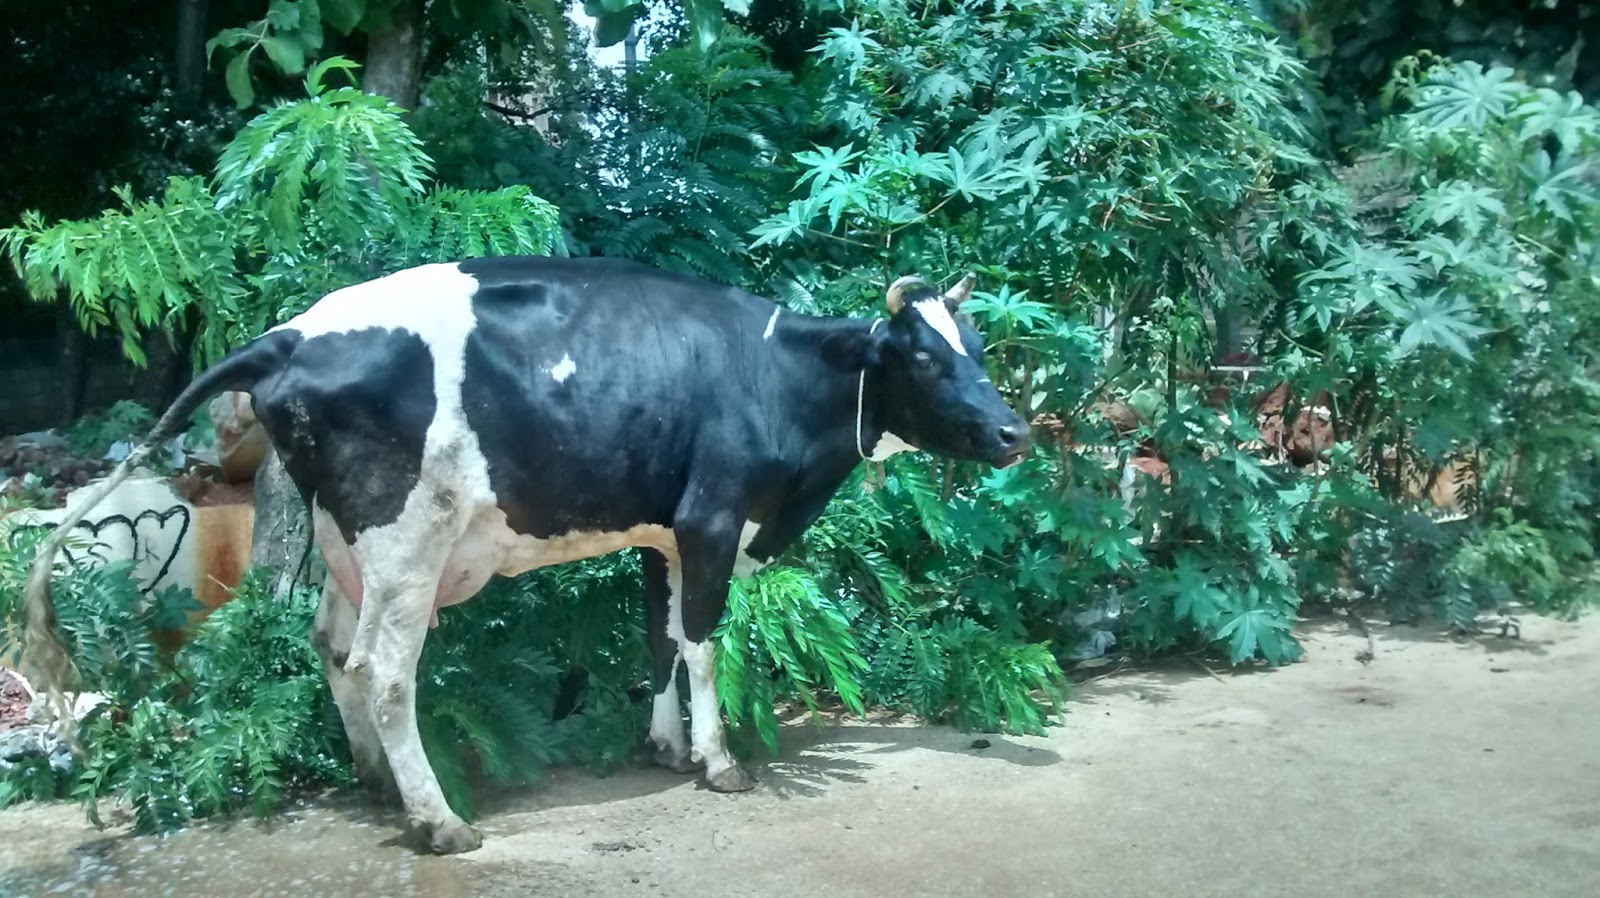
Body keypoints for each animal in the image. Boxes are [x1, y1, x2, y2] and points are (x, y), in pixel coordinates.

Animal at [24, 256, 1029, 853]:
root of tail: (289, 333)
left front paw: (664, 746)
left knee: (332, 650)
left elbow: (659, 642)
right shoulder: (712, 520)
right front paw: (718, 762)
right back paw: (438, 821)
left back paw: (379, 786)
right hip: (411, 537)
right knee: (383, 669)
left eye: (978, 347)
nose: (1015, 431)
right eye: (926, 359)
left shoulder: (659, 531)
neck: (776, 379)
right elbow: (705, 646)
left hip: (349, 544)